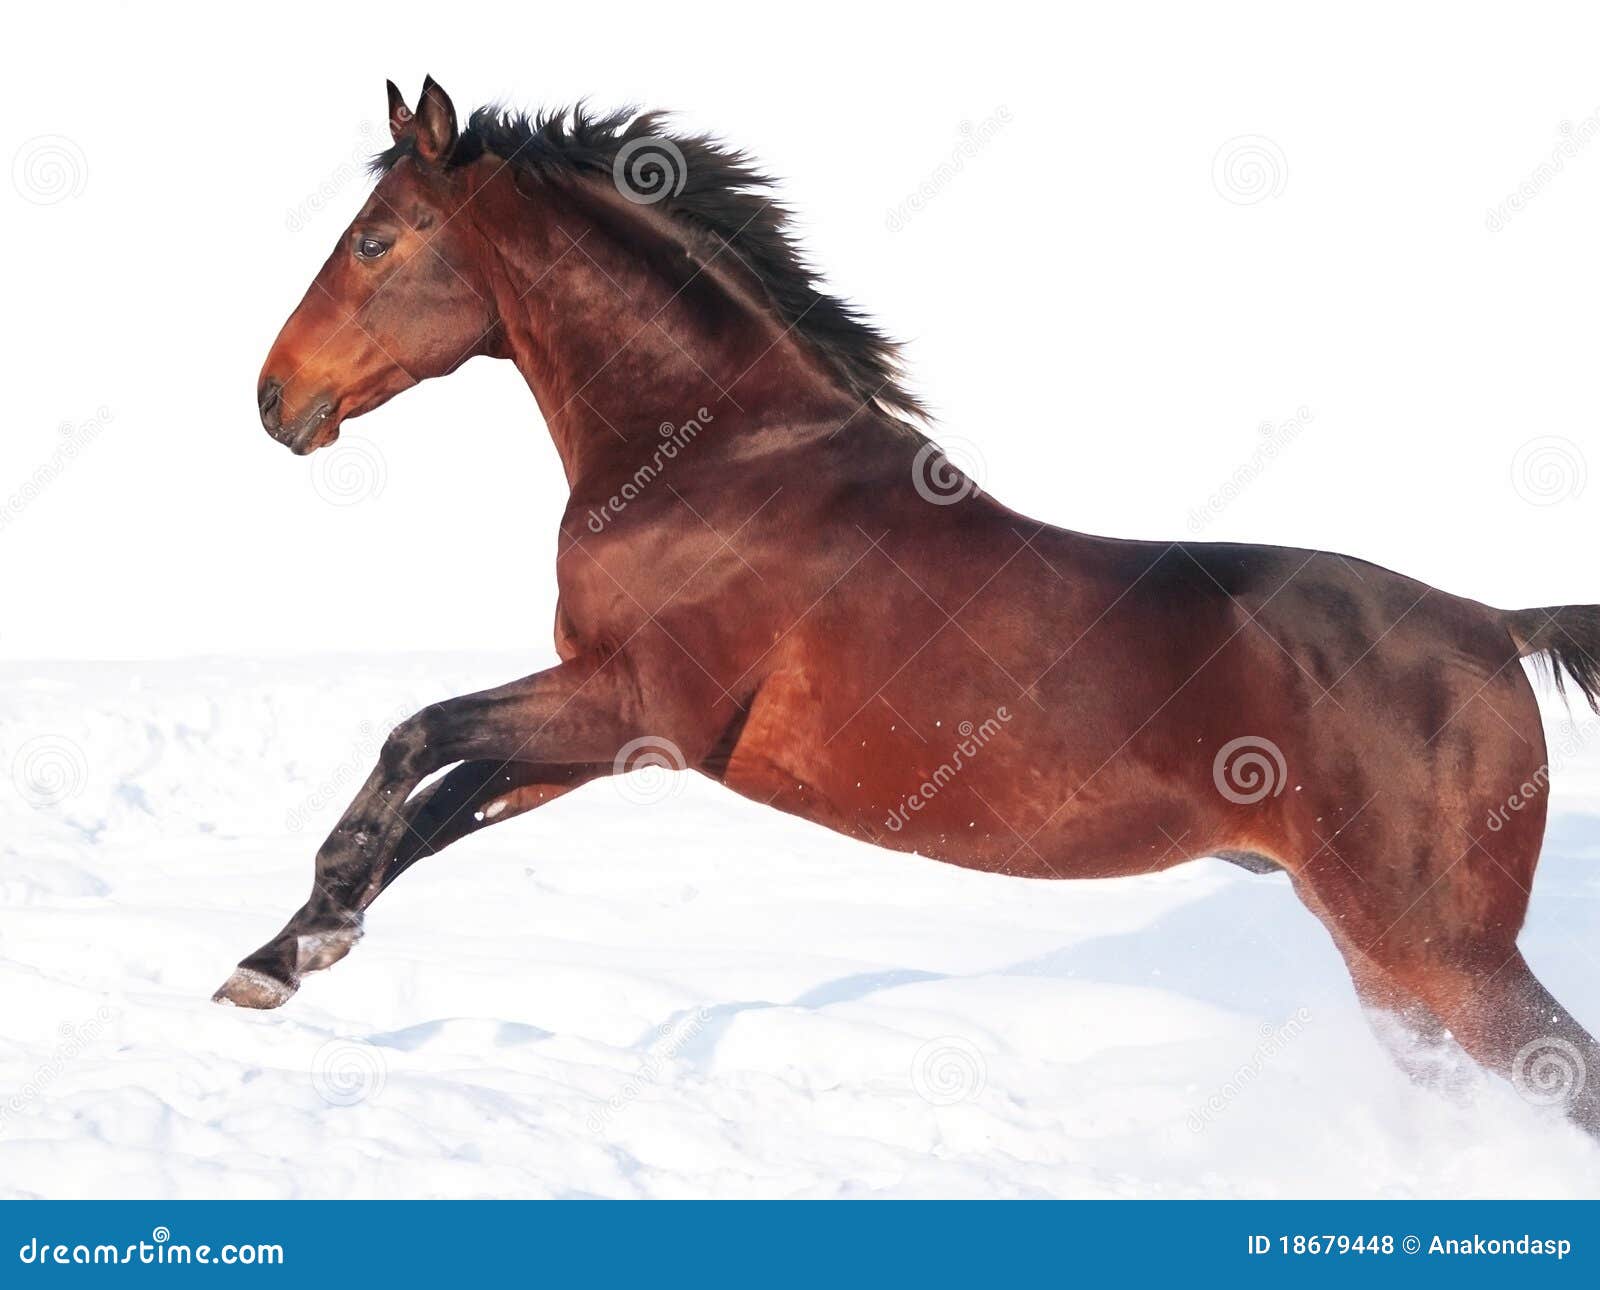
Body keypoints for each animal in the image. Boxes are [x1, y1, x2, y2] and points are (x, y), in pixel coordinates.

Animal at [221, 77, 1600, 1138]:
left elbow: (415, 740)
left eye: (376, 240)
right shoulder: (611, 736)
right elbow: (440, 807)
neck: (720, 460)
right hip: (1389, 964)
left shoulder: (635, 703)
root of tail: (1498, 625)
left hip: (1443, 952)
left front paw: (298, 938)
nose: (274, 399)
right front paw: (286, 956)